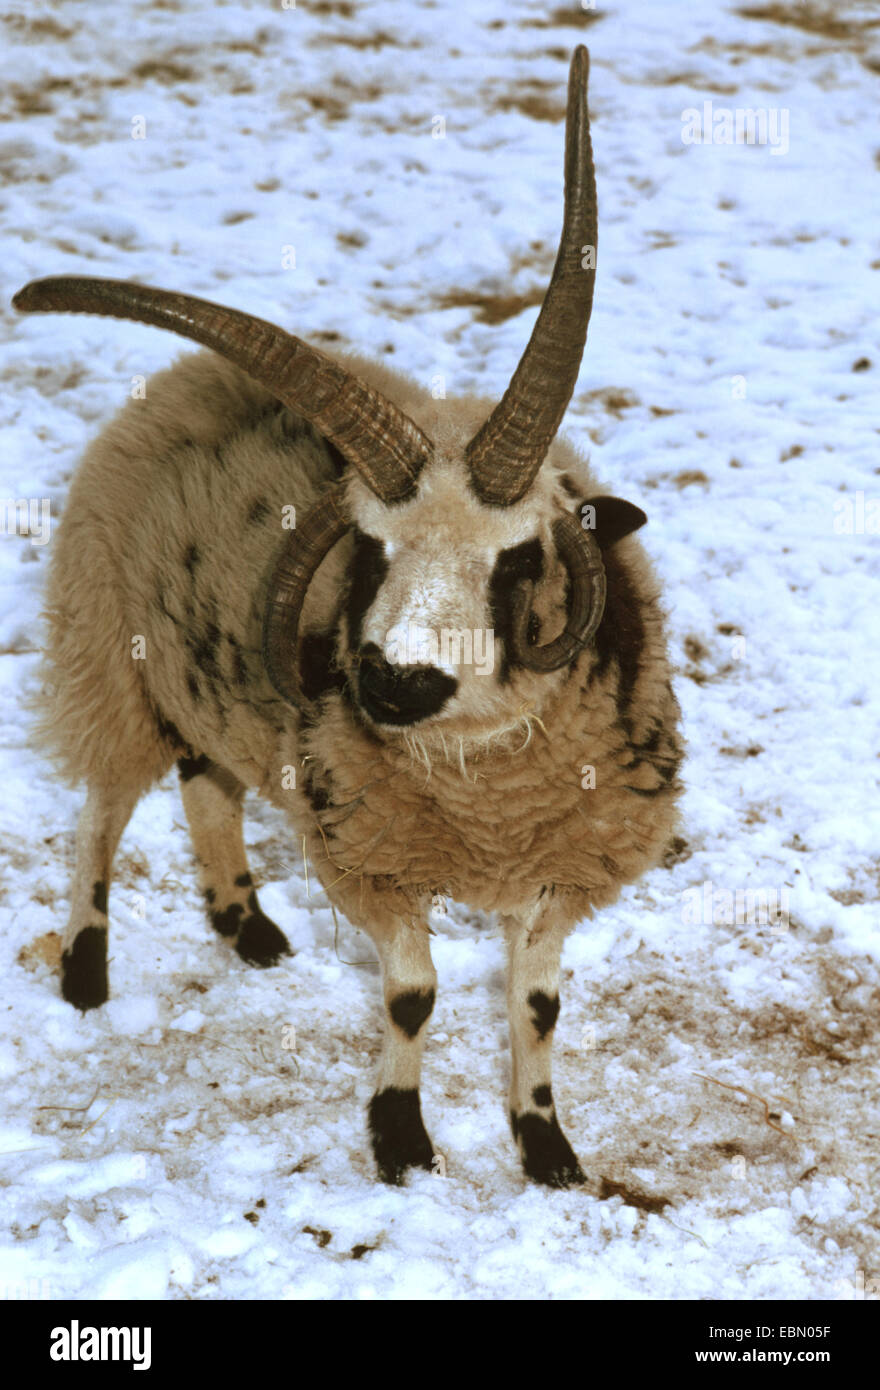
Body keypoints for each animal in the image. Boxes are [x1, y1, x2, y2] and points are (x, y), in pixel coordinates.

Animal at [13, 46, 682, 1188]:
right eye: (366, 550)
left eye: (522, 558)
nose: (391, 680)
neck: (485, 786)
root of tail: (186, 376)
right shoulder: (372, 856)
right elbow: (412, 996)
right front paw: (402, 1141)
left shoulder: (563, 865)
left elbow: (537, 1005)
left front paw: (547, 1147)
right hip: (113, 652)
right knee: (104, 805)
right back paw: (89, 969)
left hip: (205, 672)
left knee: (206, 782)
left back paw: (247, 927)